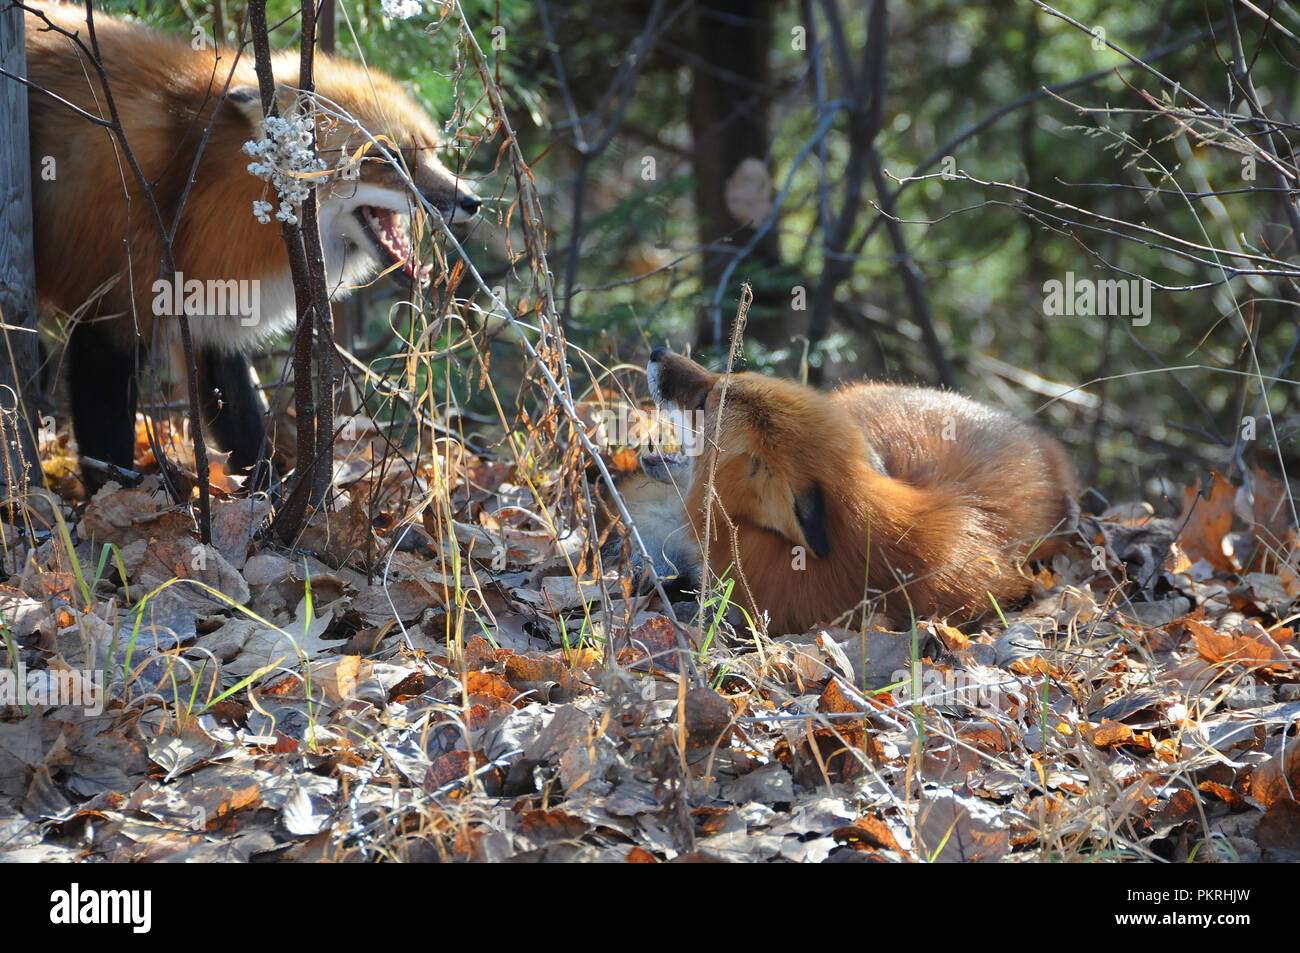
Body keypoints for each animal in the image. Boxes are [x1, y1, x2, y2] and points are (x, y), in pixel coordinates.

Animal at [19, 1, 480, 491]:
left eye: (431, 152)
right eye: (385, 158)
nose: (474, 202)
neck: (189, 179)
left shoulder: (211, 309)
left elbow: (243, 425)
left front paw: (269, 498)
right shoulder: (112, 312)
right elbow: (107, 445)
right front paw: (115, 498)